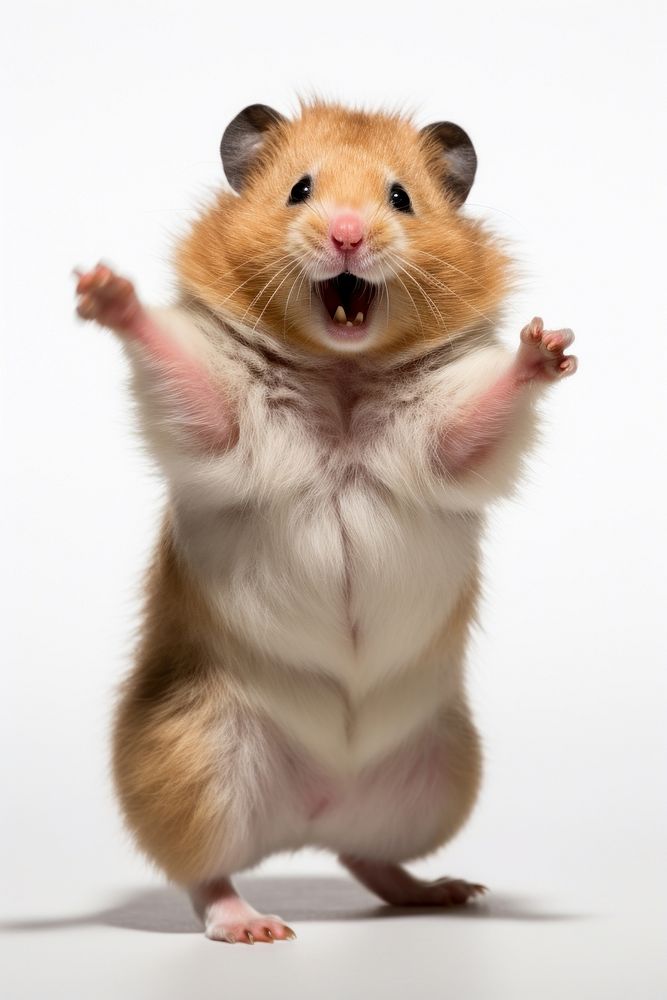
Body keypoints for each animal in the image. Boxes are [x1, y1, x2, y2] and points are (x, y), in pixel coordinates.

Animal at [74, 100, 577, 945]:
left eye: (400, 198)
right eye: (299, 190)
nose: (346, 236)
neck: (343, 369)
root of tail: (309, 811)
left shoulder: (445, 444)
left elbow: (480, 417)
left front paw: (549, 347)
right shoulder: (219, 424)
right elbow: (180, 373)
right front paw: (105, 291)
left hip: (438, 775)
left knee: (364, 858)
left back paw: (446, 889)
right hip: (195, 761)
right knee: (204, 875)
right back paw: (254, 927)